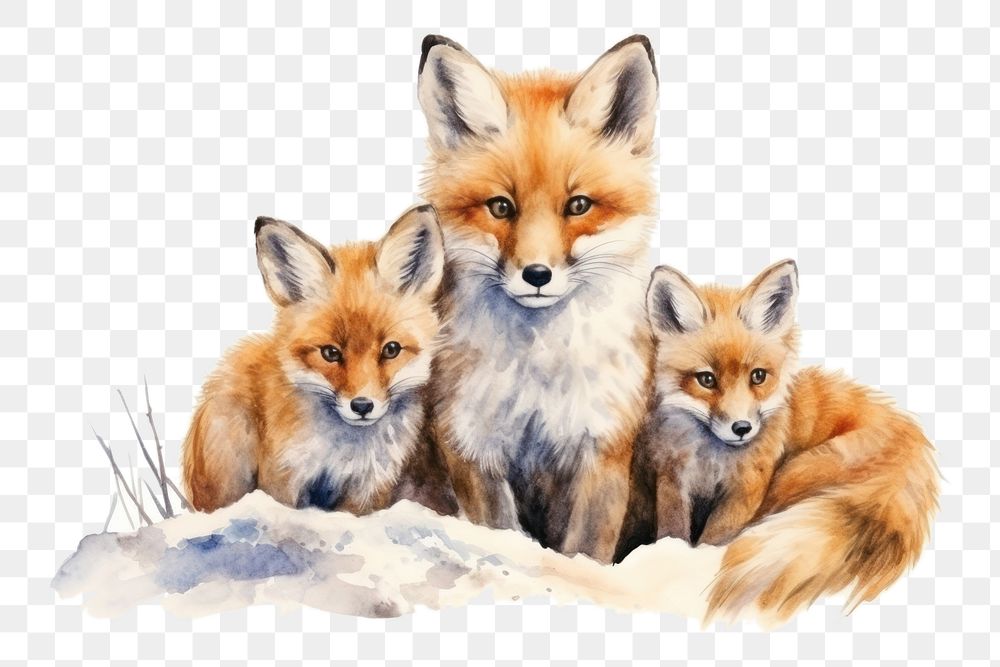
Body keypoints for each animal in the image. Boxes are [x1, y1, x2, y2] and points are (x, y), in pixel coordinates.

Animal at [182, 206, 457, 516]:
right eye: (330, 353)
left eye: (391, 349)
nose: (362, 406)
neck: (344, 451)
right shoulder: (283, 477)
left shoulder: (368, 488)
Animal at [415, 34, 660, 562]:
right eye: (501, 207)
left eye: (579, 205)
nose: (537, 275)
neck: (537, 378)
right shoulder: (471, 444)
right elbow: (503, 535)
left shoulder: (602, 446)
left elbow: (585, 551)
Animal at [617, 259, 939, 622]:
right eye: (706, 380)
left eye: (758, 376)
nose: (742, 427)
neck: (712, 461)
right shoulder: (673, 479)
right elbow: (675, 530)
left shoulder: (747, 489)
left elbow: (714, 540)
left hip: (793, 473)